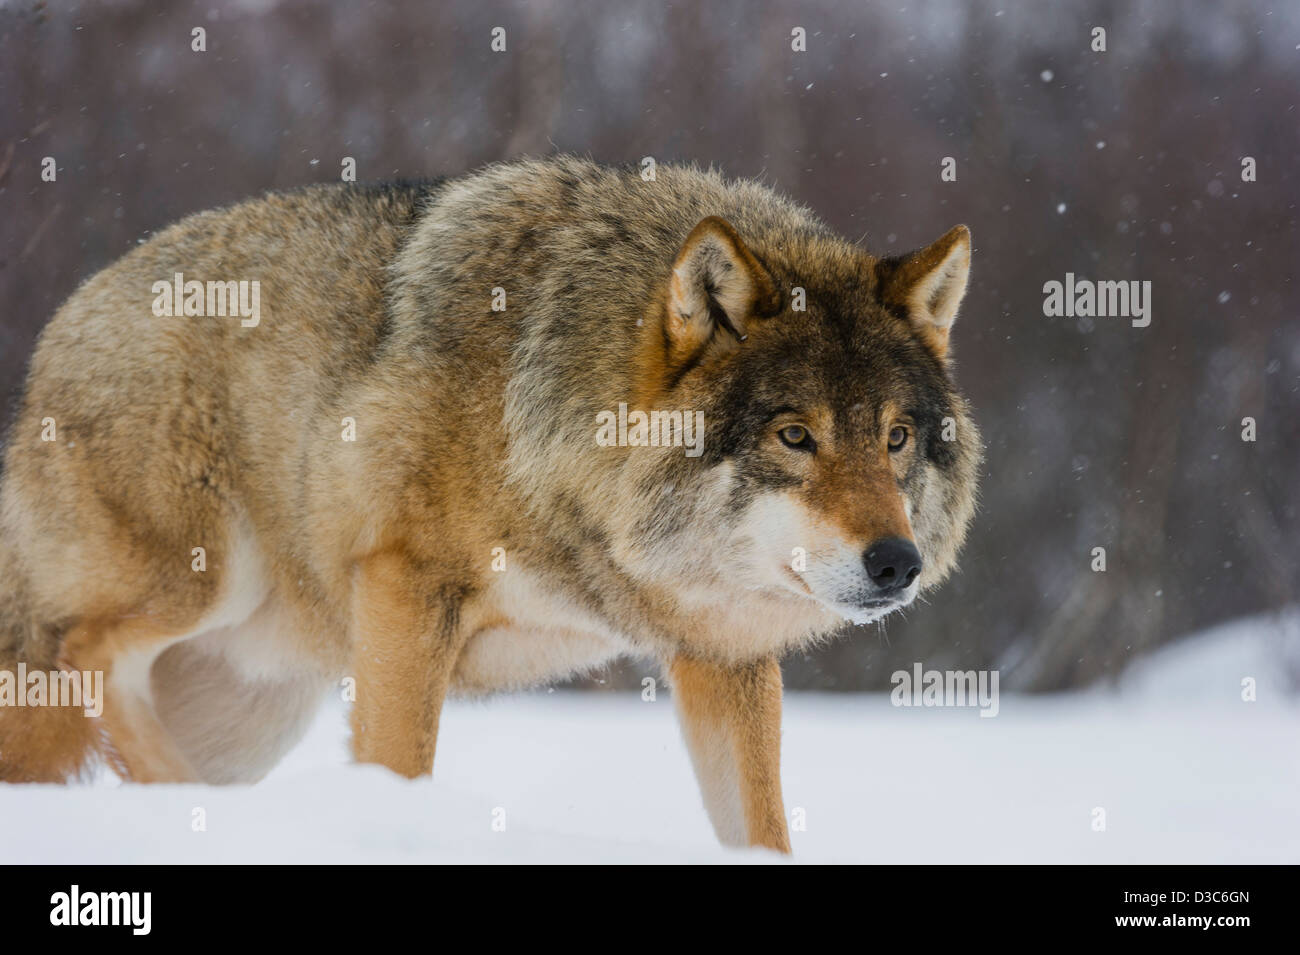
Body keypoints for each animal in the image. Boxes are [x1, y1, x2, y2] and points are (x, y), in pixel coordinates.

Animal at [0, 157, 979, 852]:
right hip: (210, 584)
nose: (897, 563)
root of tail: (57, 329)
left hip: (255, 711)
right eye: (795, 436)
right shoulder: (406, 587)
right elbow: (401, 767)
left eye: (896, 436)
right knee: (90, 655)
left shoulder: (721, 653)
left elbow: (766, 832)